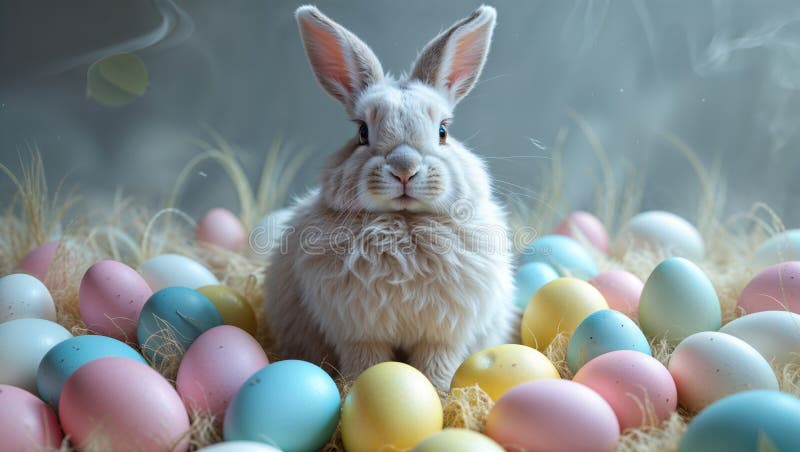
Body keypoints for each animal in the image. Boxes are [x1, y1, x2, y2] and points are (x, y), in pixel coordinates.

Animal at [263, 4, 518, 389]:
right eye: (362, 132)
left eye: (443, 131)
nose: (404, 169)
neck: (403, 222)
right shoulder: (360, 334)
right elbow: (368, 363)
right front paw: (356, 390)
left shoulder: (442, 336)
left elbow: (437, 365)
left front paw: (443, 394)